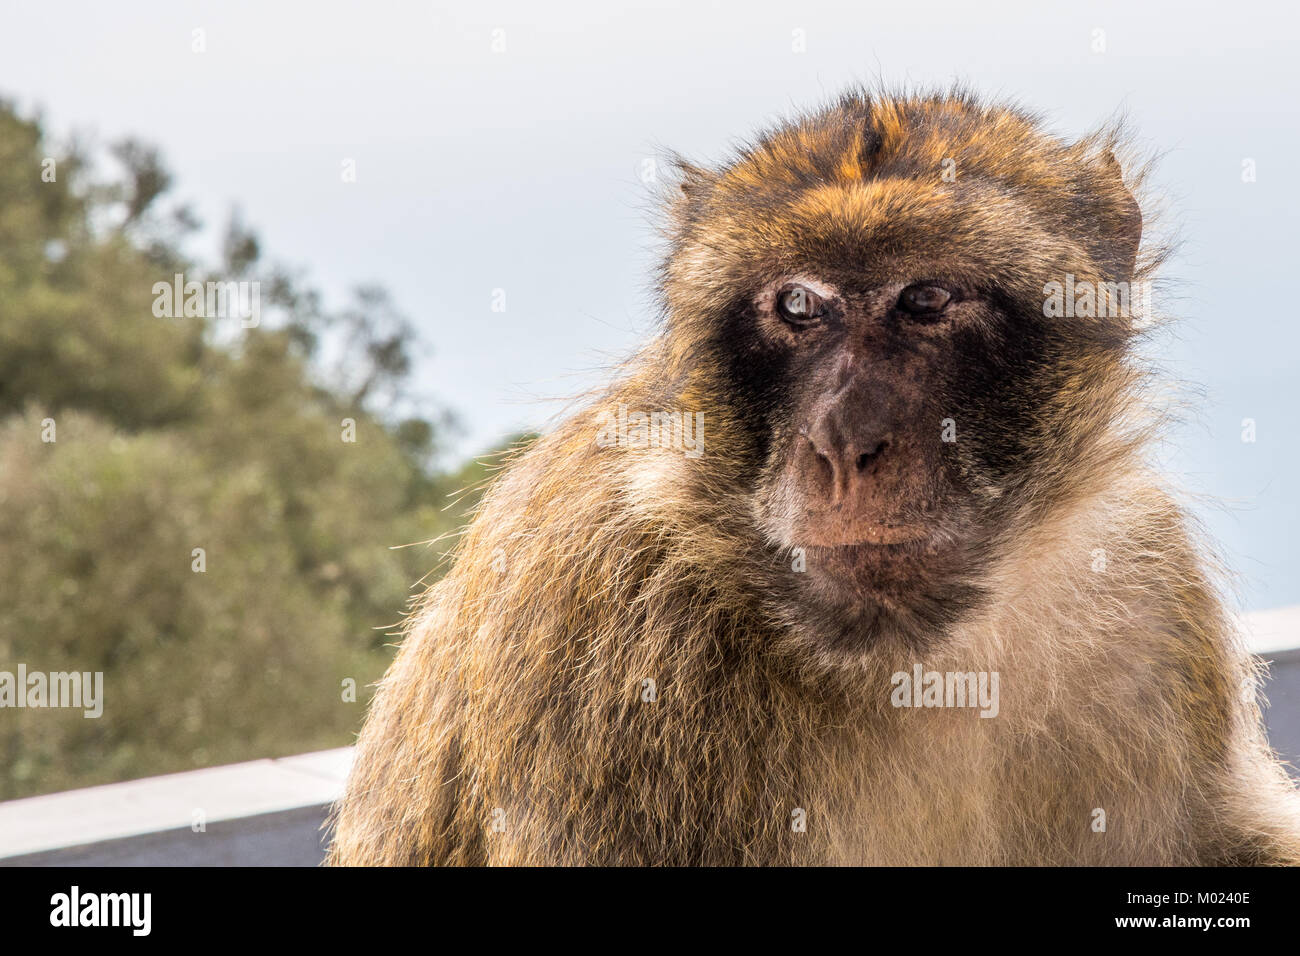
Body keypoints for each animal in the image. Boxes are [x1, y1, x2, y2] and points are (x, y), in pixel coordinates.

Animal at [327, 87, 1300, 866]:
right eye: (798, 304)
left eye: (926, 300)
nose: (842, 440)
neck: (919, 657)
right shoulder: (595, 632)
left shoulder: (1149, 594)